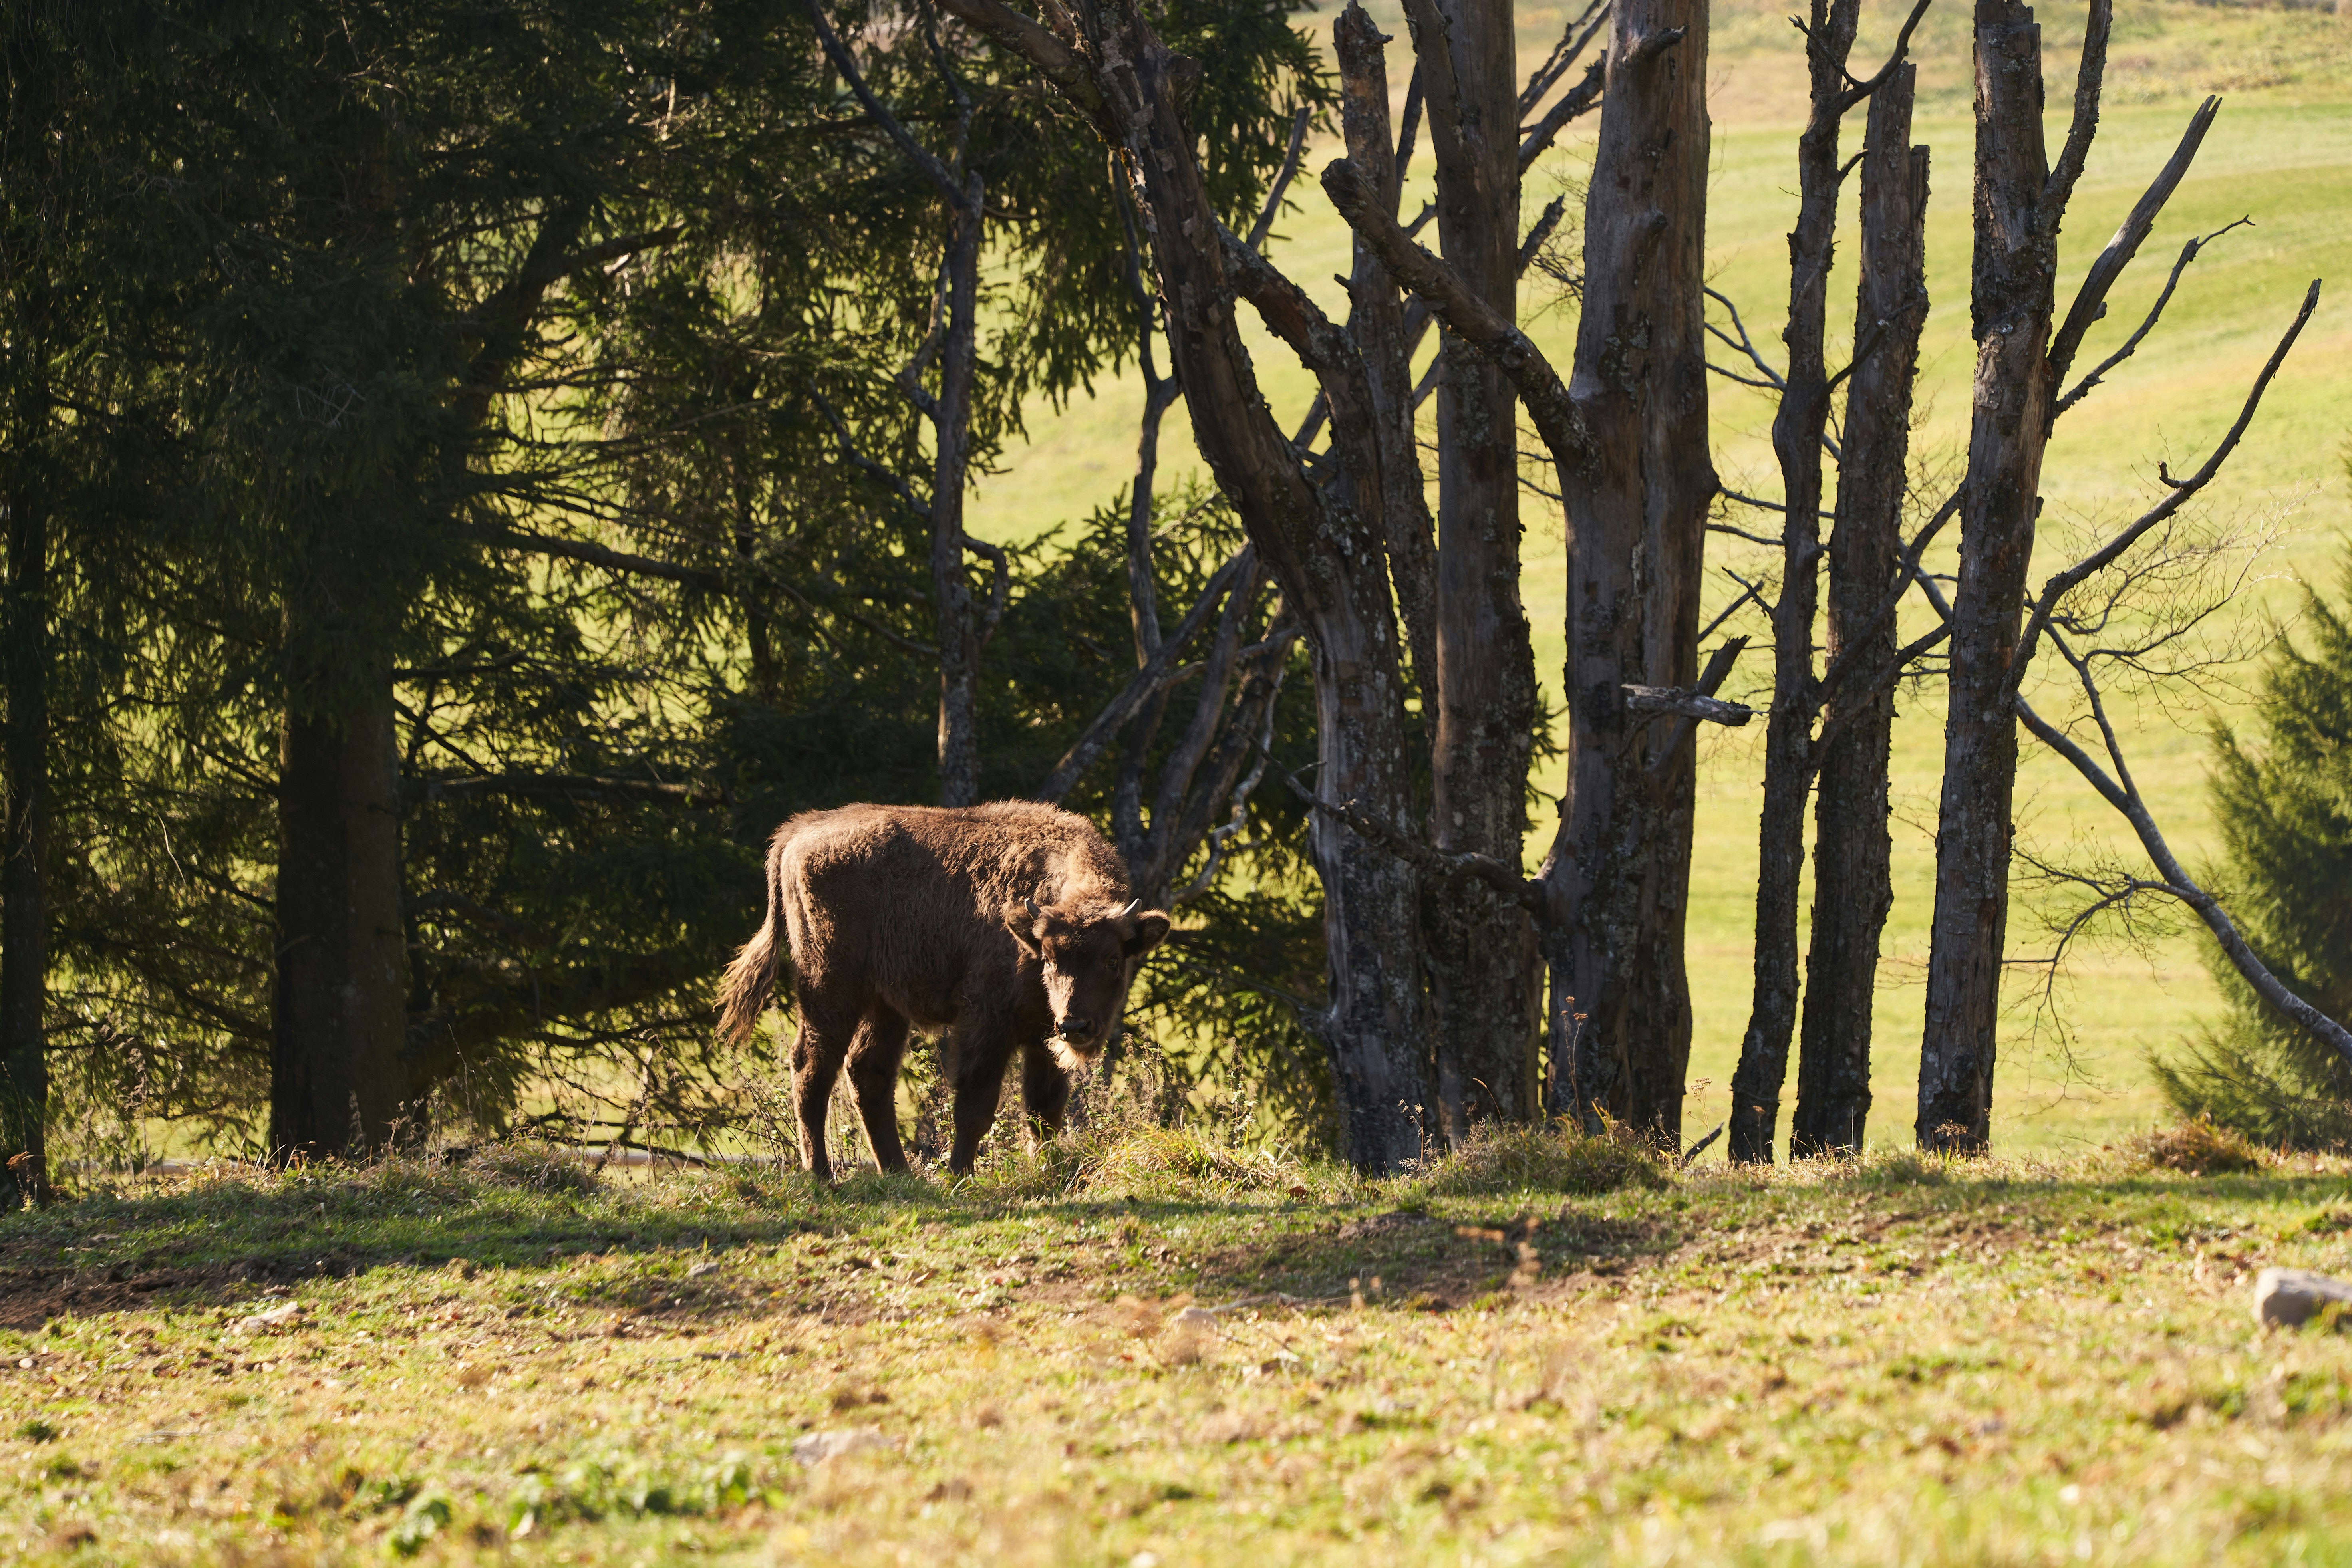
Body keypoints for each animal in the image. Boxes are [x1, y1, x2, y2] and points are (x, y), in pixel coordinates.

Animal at [715, 801, 1171, 1179]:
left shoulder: (1042, 1035)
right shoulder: (987, 1025)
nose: (1076, 1026)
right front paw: (960, 1176)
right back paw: (822, 1175)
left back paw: (898, 1173)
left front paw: (1046, 1170)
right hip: (829, 990)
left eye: (1113, 959)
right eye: (1049, 958)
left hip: (884, 1005)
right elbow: (976, 1105)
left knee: (868, 1071)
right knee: (812, 1066)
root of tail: (798, 832)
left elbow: (1044, 1111)